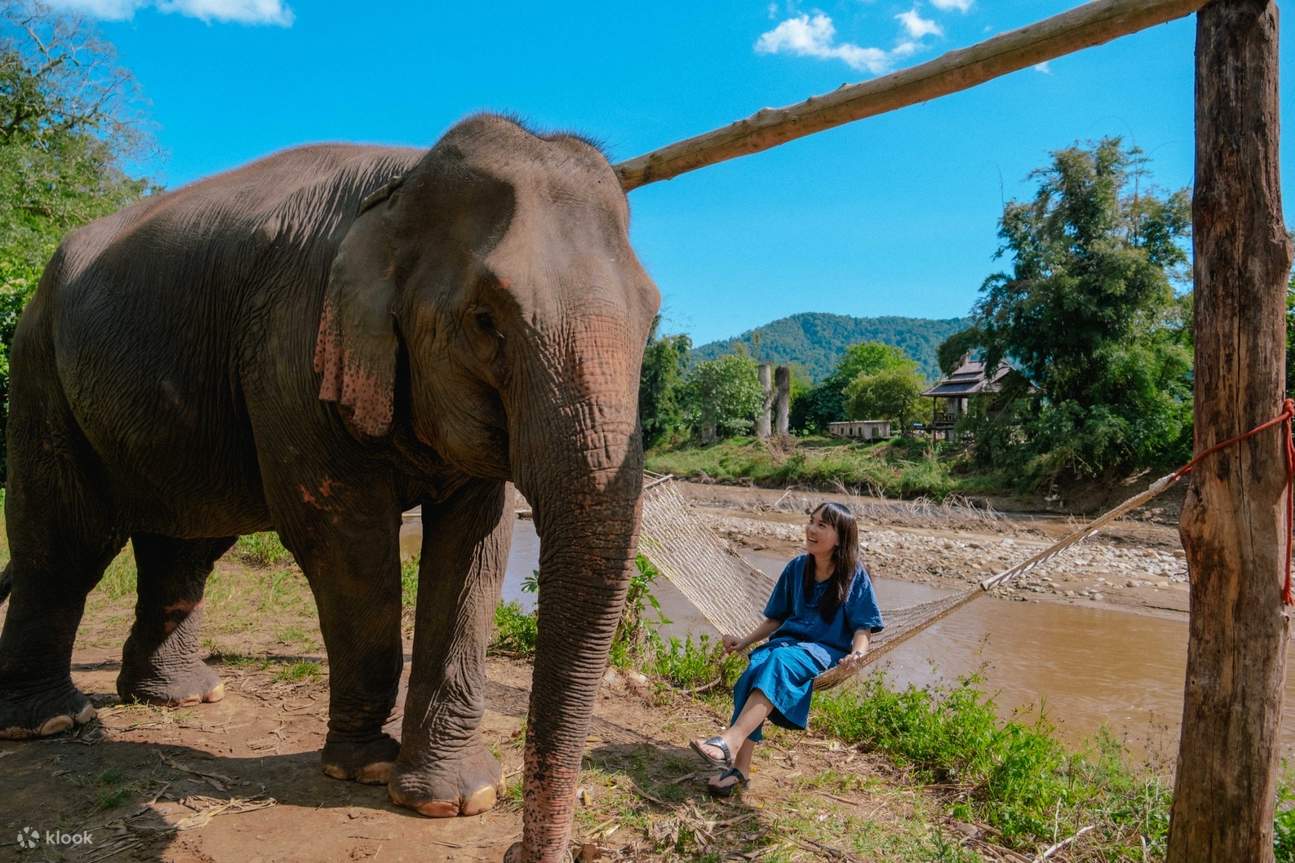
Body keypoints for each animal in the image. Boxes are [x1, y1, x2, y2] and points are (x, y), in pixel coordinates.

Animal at [0, 113, 659, 863]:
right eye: (485, 320)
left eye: (653, 321)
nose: (523, 852)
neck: (402, 187)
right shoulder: (292, 343)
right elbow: (347, 541)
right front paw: (364, 769)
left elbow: (477, 547)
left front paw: (454, 799)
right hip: (39, 364)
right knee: (64, 538)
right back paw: (50, 723)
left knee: (186, 543)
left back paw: (180, 698)